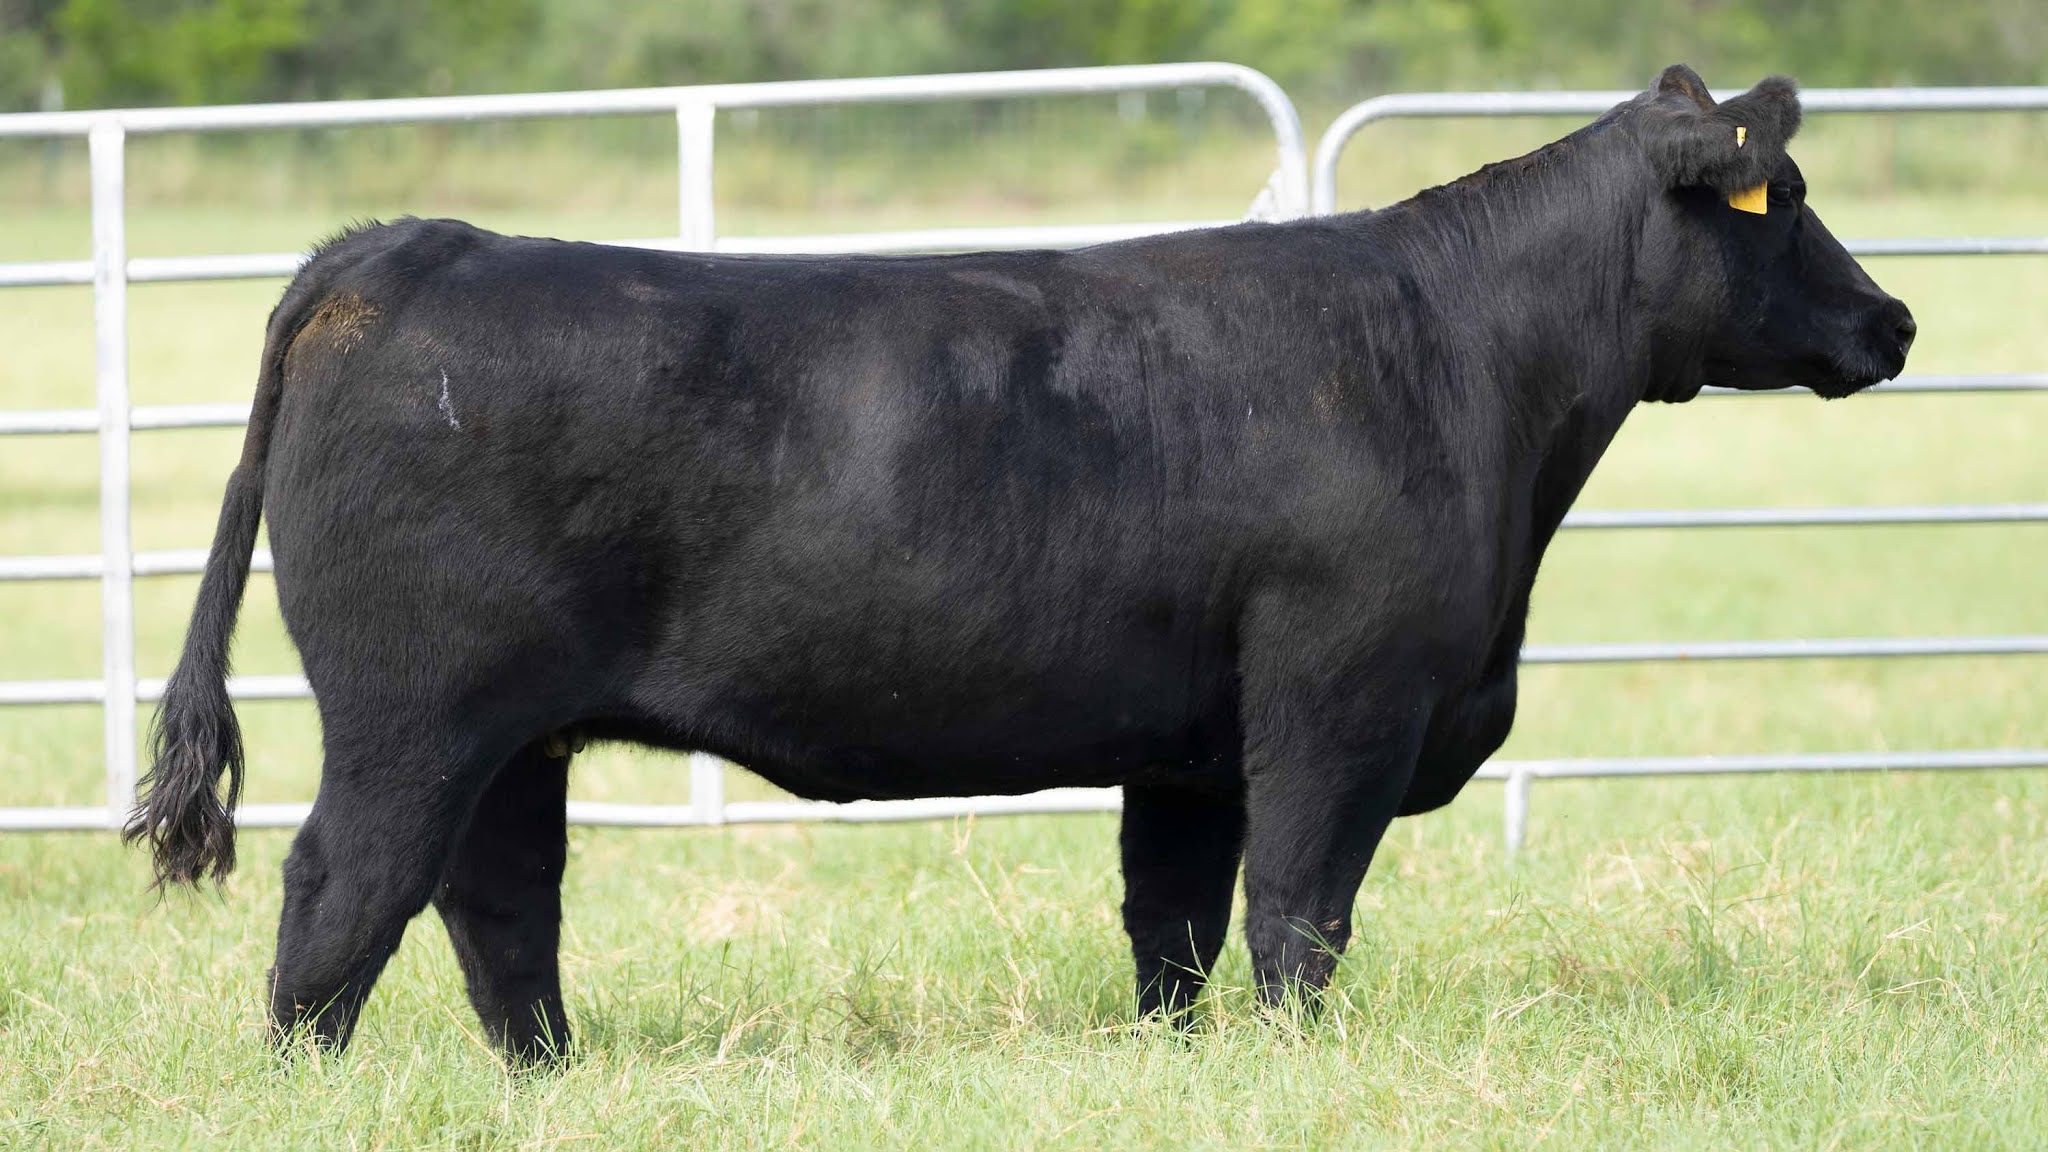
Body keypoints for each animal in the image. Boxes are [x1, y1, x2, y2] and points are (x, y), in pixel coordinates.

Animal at [126, 65, 1913, 1063]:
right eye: (1783, 199)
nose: (1893, 320)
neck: (1468, 364)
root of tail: (412, 247)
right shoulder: (1340, 700)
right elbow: (1300, 916)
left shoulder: (1195, 749)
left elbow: (1174, 927)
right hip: (414, 715)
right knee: (344, 891)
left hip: (514, 737)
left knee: (500, 911)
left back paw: (553, 1078)